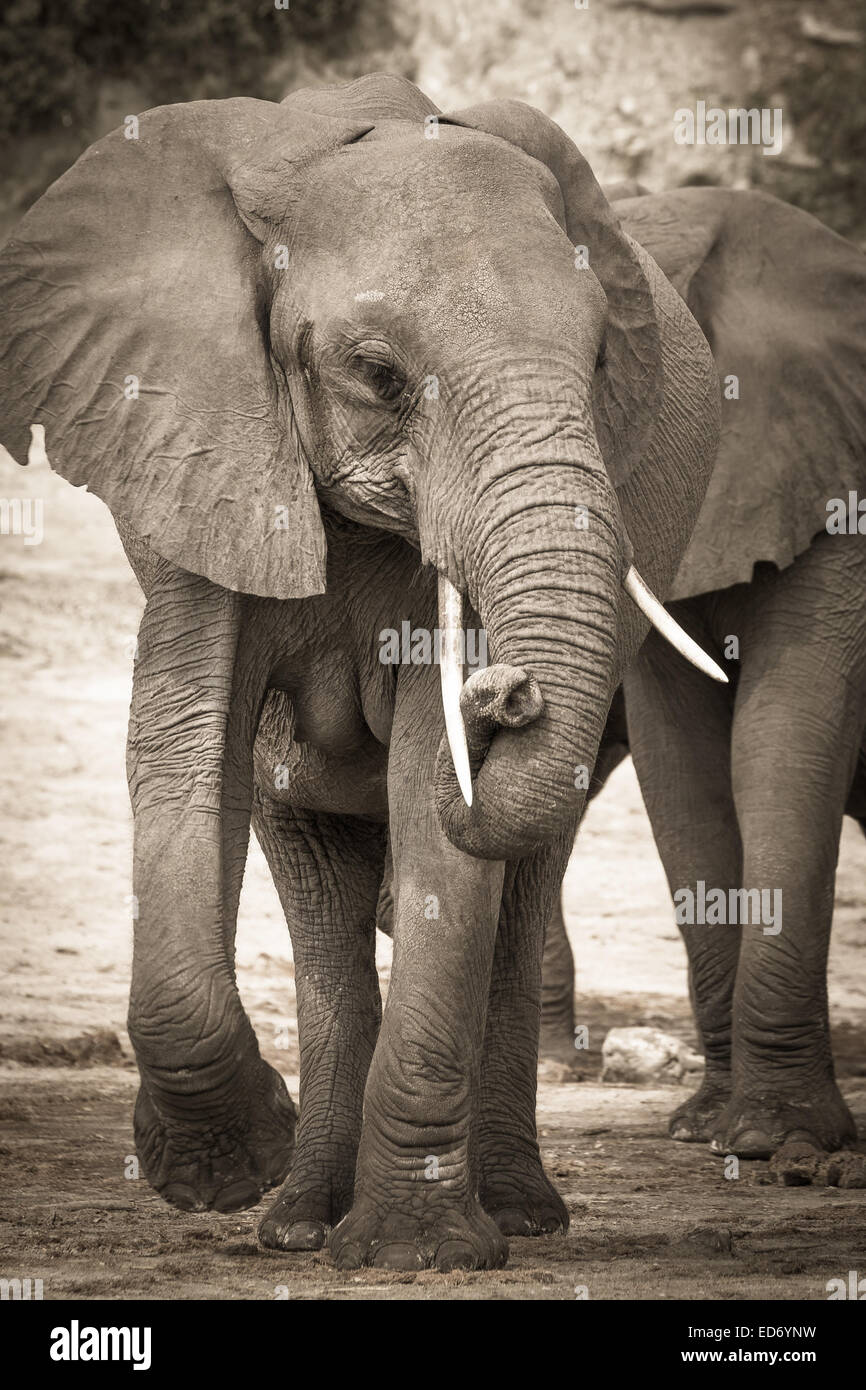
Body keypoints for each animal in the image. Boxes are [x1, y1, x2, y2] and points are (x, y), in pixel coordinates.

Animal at [0, 74, 725, 1271]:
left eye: (598, 366)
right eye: (377, 376)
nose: (508, 691)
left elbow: (438, 798)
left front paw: (416, 1255)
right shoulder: (201, 454)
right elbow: (184, 740)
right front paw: (224, 1171)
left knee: (515, 887)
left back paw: (516, 1215)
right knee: (320, 900)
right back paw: (294, 1219)